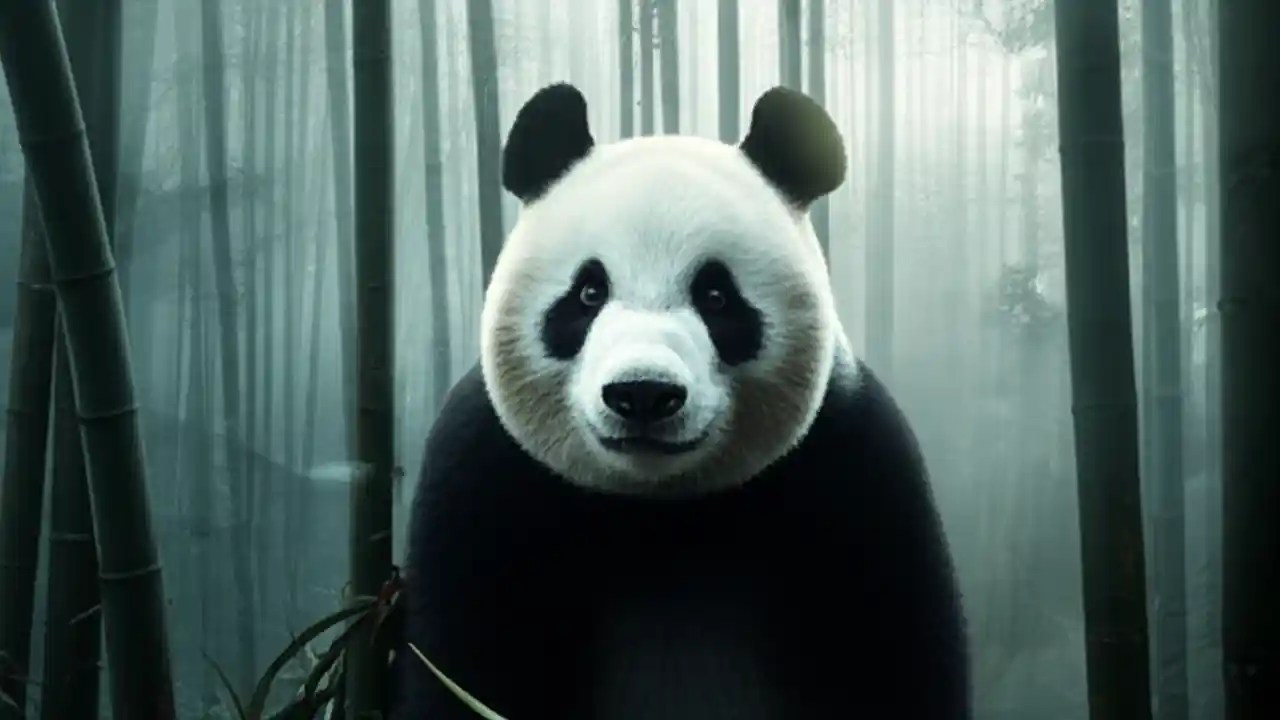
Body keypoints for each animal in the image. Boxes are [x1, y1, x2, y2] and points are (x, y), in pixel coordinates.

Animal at [392, 83, 970, 719]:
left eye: (716, 296)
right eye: (588, 292)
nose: (643, 392)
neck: (663, 515)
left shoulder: (855, 466)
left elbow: (894, 653)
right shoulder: (483, 473)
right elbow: (458, 662)